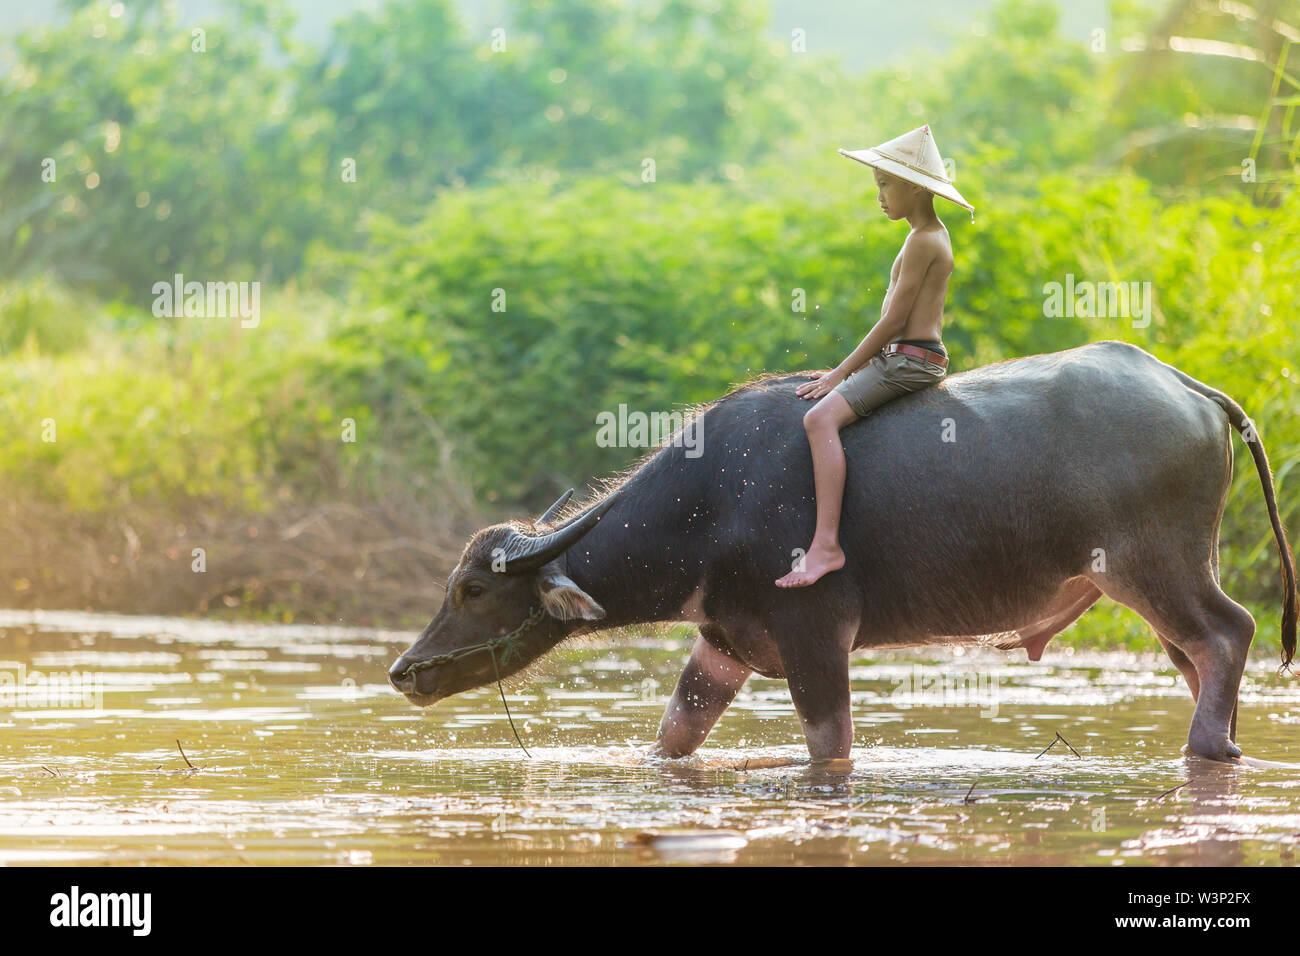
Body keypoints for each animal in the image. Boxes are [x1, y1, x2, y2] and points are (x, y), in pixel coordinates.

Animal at [389, 341, 1296, 763]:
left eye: (472, 590)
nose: (405, 671)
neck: (713, 503)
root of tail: (1188, 388)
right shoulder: (724, 643)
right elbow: (674, 736)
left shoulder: (814, 635)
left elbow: (829, 746)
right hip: (1165, 577)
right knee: (1198, 656)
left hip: (1157, 567)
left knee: (1232, 632)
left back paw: (1206, 745)